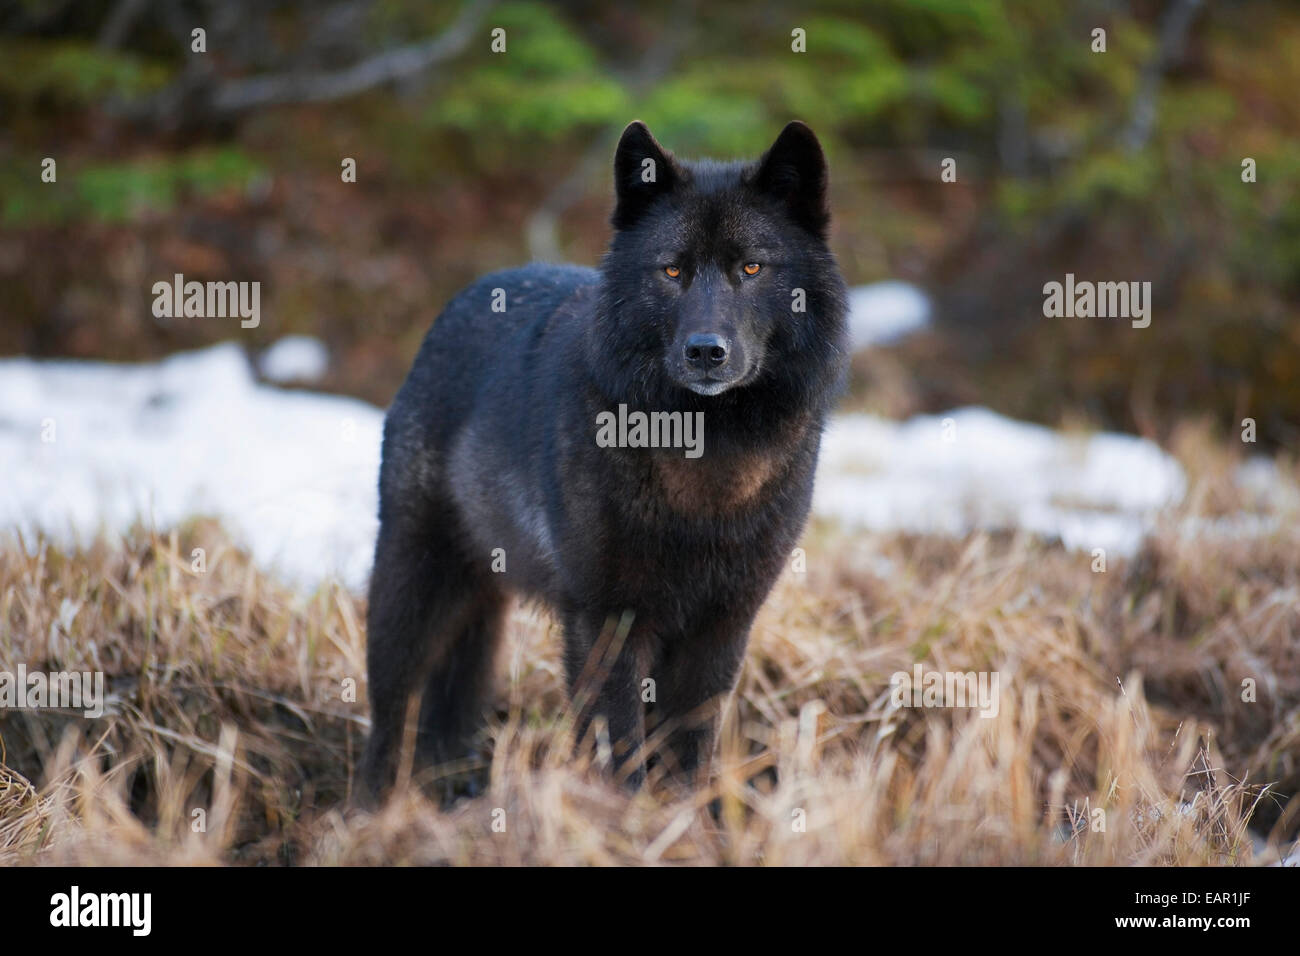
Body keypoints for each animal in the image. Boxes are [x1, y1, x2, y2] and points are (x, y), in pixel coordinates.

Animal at [361, 120, 848, 796]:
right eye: (672, 270)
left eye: (751, 266)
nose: (706, 351)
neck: (705, 461)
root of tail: (464, 296)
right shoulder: (606, 622)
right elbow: (618, 746)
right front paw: (621, 811)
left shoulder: (722, 626)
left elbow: (687, 746)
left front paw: (681, 815)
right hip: (412, 588)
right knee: (389, 716)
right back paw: (374, 808)